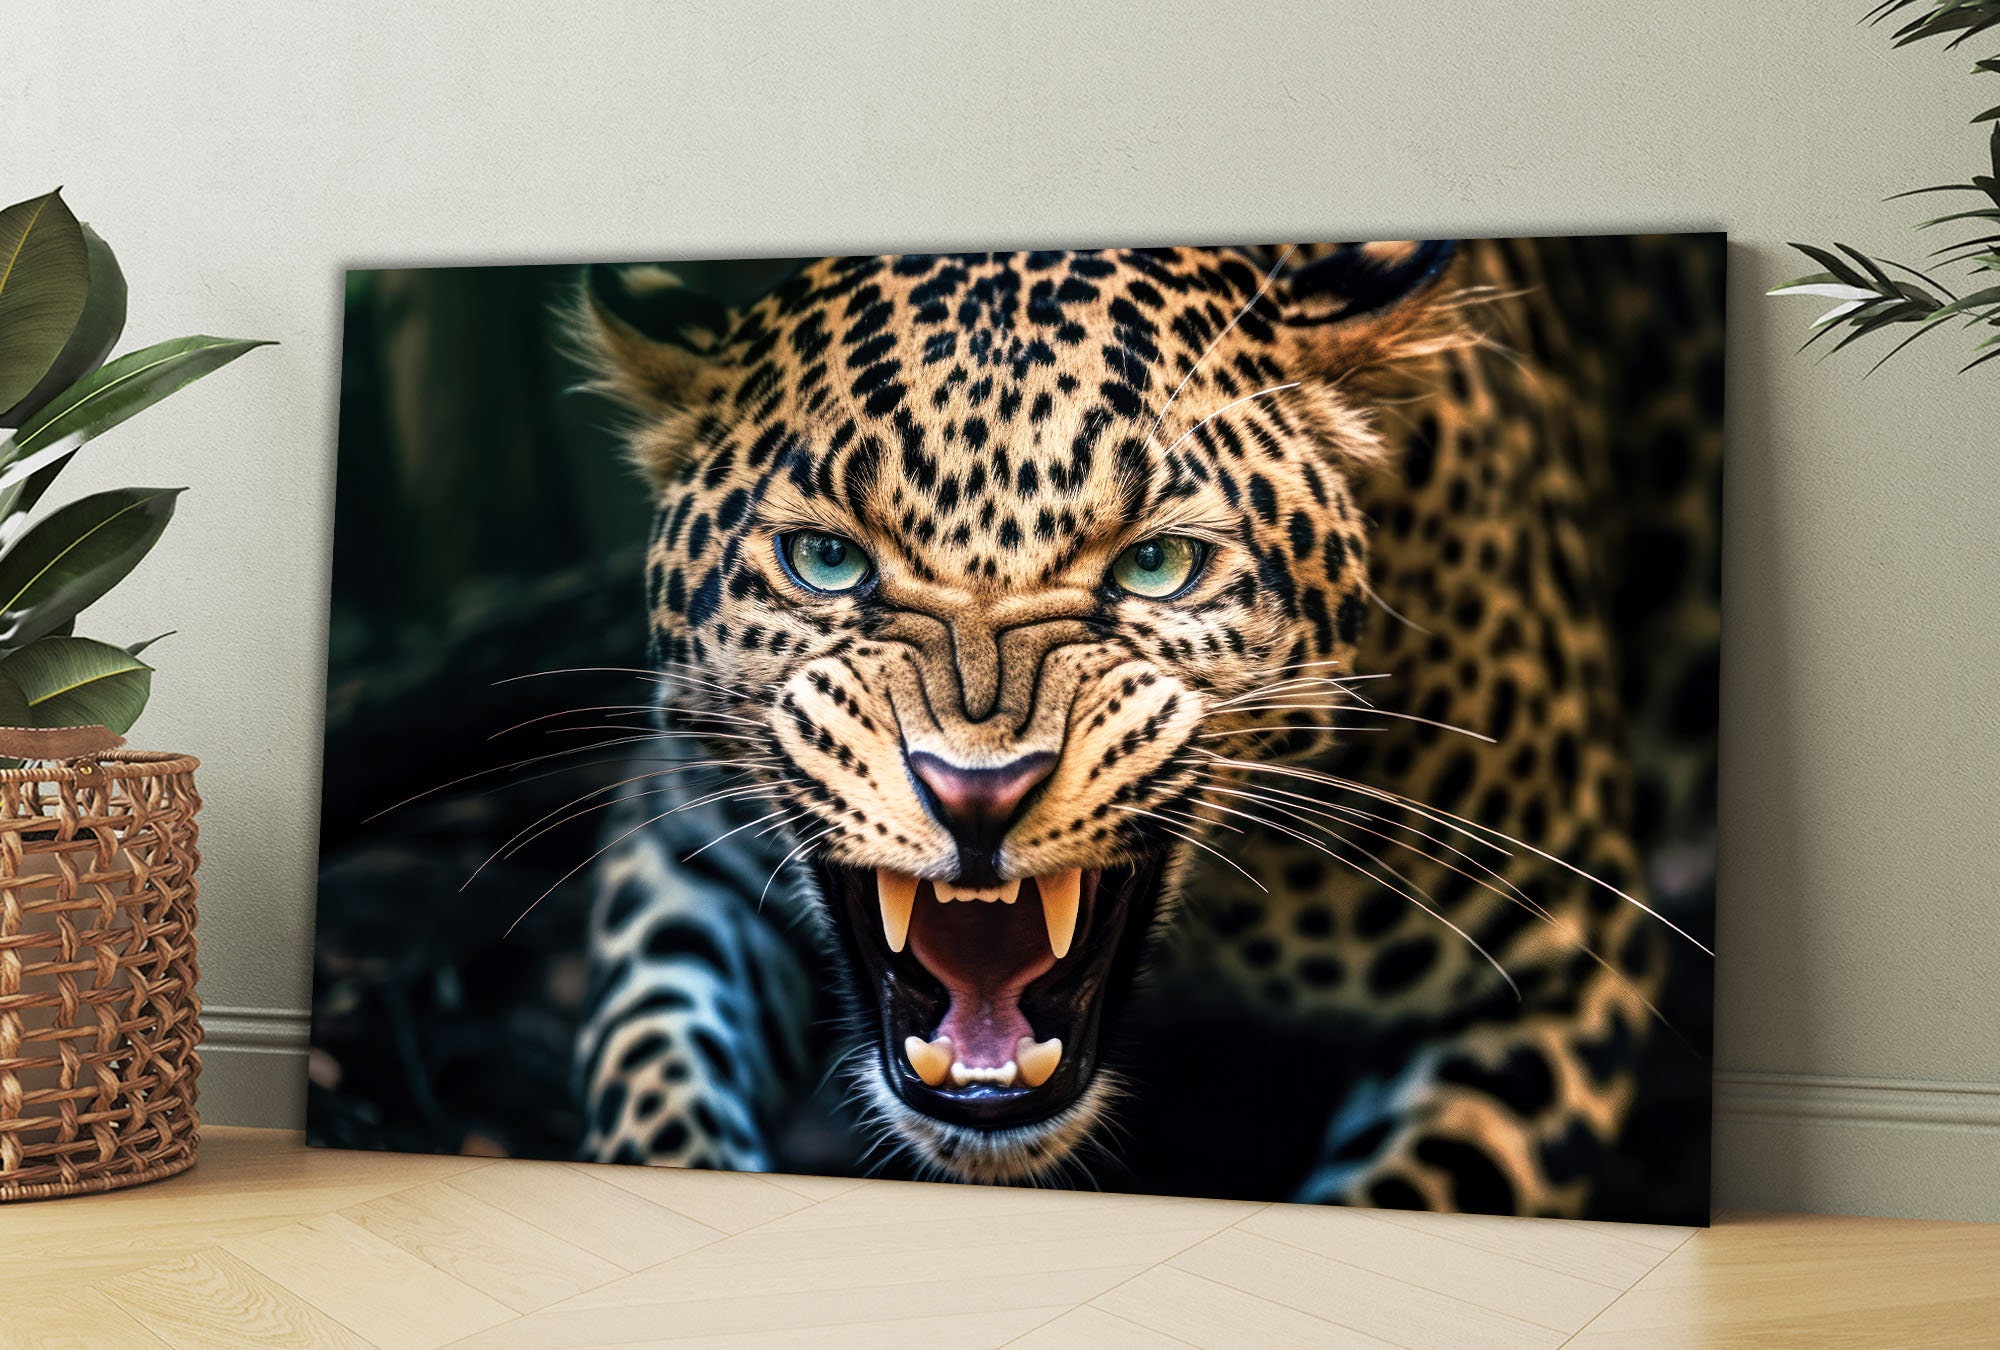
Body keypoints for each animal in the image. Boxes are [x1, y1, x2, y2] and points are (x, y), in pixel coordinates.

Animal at [567, 234, 1723, 1217]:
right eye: (826, 560)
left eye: (1156, 566)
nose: (974, 791)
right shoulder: (681, 834)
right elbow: (649, 1071)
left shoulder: (1564, 955)